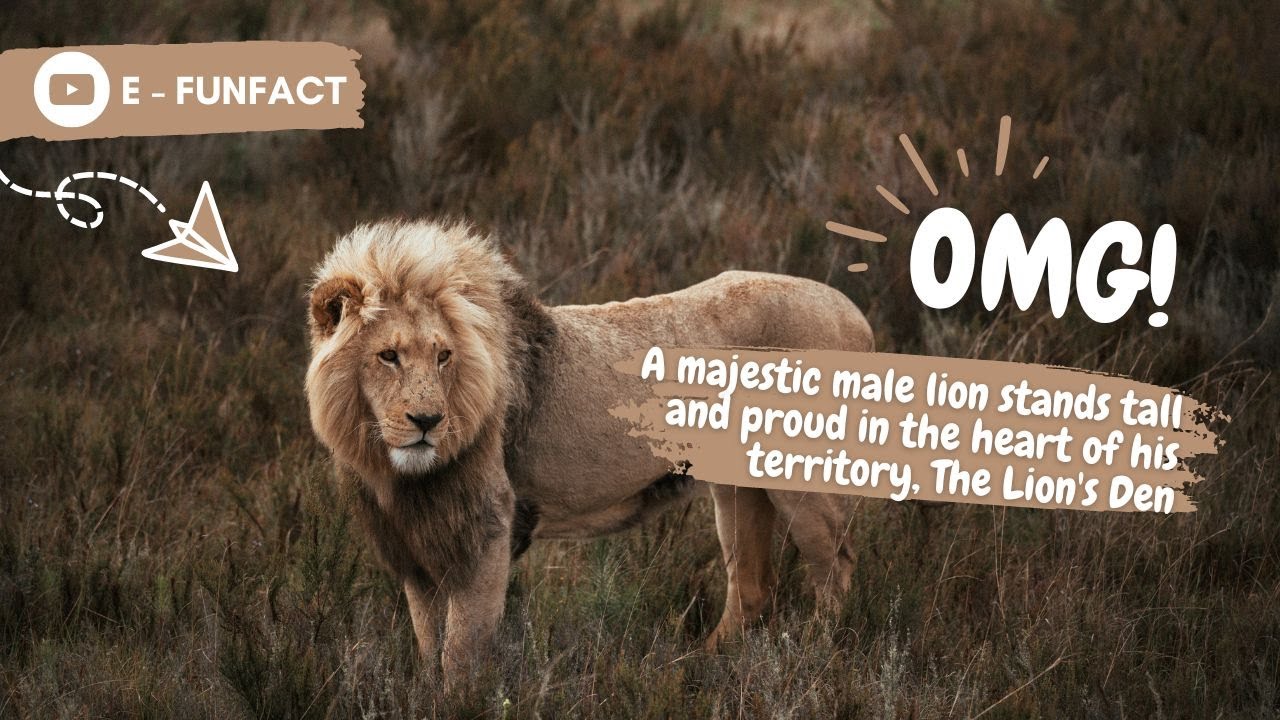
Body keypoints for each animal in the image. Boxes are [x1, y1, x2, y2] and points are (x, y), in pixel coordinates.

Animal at [305, 220, 874, 686]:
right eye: (388, 356)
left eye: (444, 356)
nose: (427, 422)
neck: (401, 474)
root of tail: (857, 314)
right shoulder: (417, 544)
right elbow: (429, 648)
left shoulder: (489, 530)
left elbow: (461, 653)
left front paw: (460, 702)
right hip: (739, 486)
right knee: (752, 587)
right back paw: (691, 668)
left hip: (805, 484)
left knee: (837, 568)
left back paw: (815, 660)